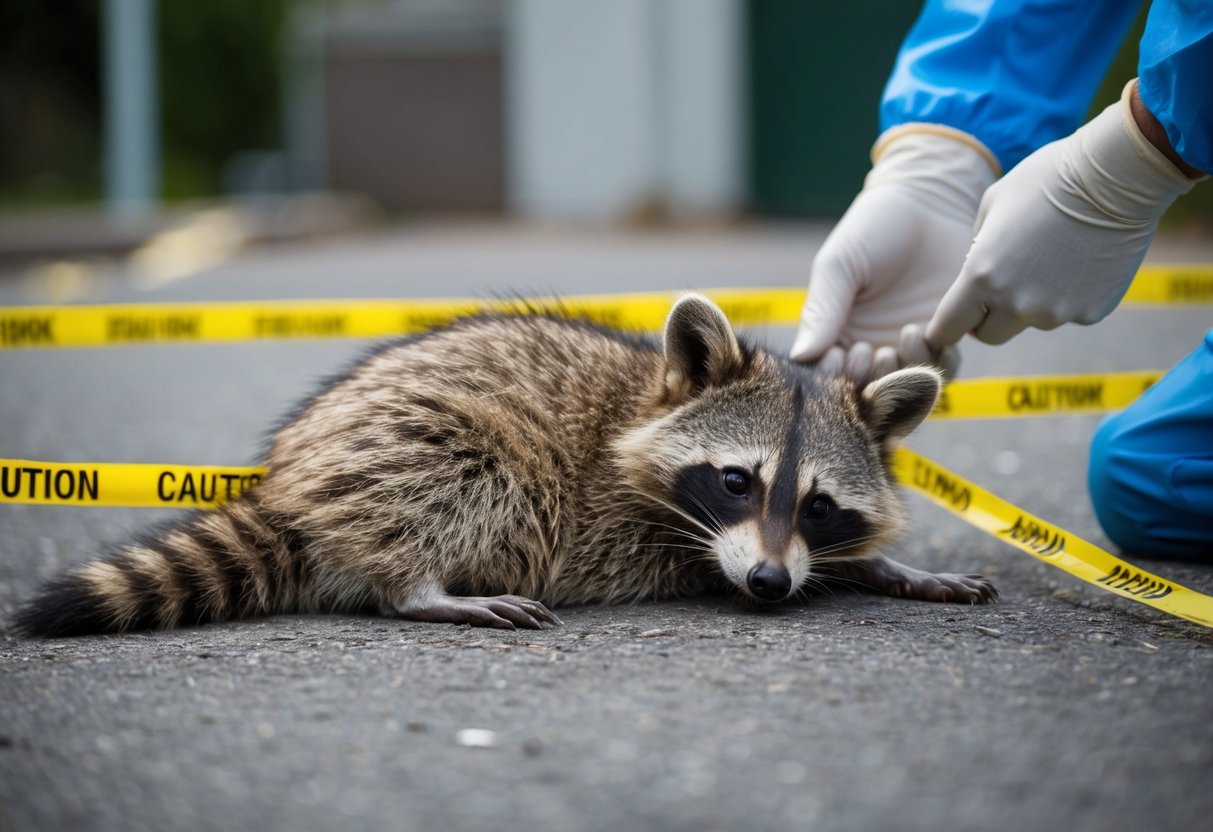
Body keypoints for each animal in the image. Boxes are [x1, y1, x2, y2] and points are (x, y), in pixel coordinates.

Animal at [14, 294, 994, 638]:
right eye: (734, 482)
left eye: (820, 504)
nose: (766, 584)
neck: (641, 407)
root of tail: (289, 480)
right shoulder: (646, 520)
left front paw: (882, 565)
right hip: (420, 448)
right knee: (466, 485)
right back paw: (424, 587)